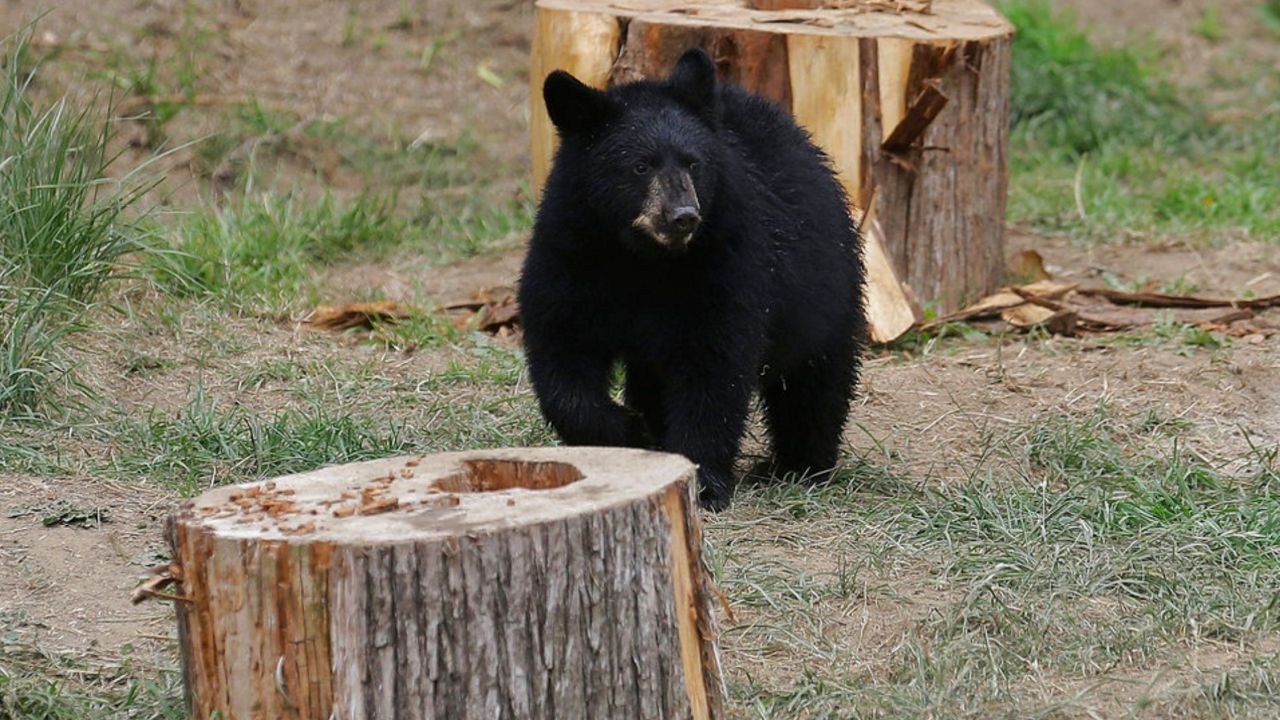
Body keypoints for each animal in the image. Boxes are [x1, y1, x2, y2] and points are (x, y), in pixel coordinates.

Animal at [518, 48, 867, 511]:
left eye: (693, 163)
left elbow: (713, 366)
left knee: (815, 381)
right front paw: (630, 432)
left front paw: (701, 481)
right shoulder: (573, 248)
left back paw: (799, 465)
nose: (682, 216)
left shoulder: (725, 260)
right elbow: (562, 347)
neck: (641, 258)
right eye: (640, 166)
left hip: (823, 287)